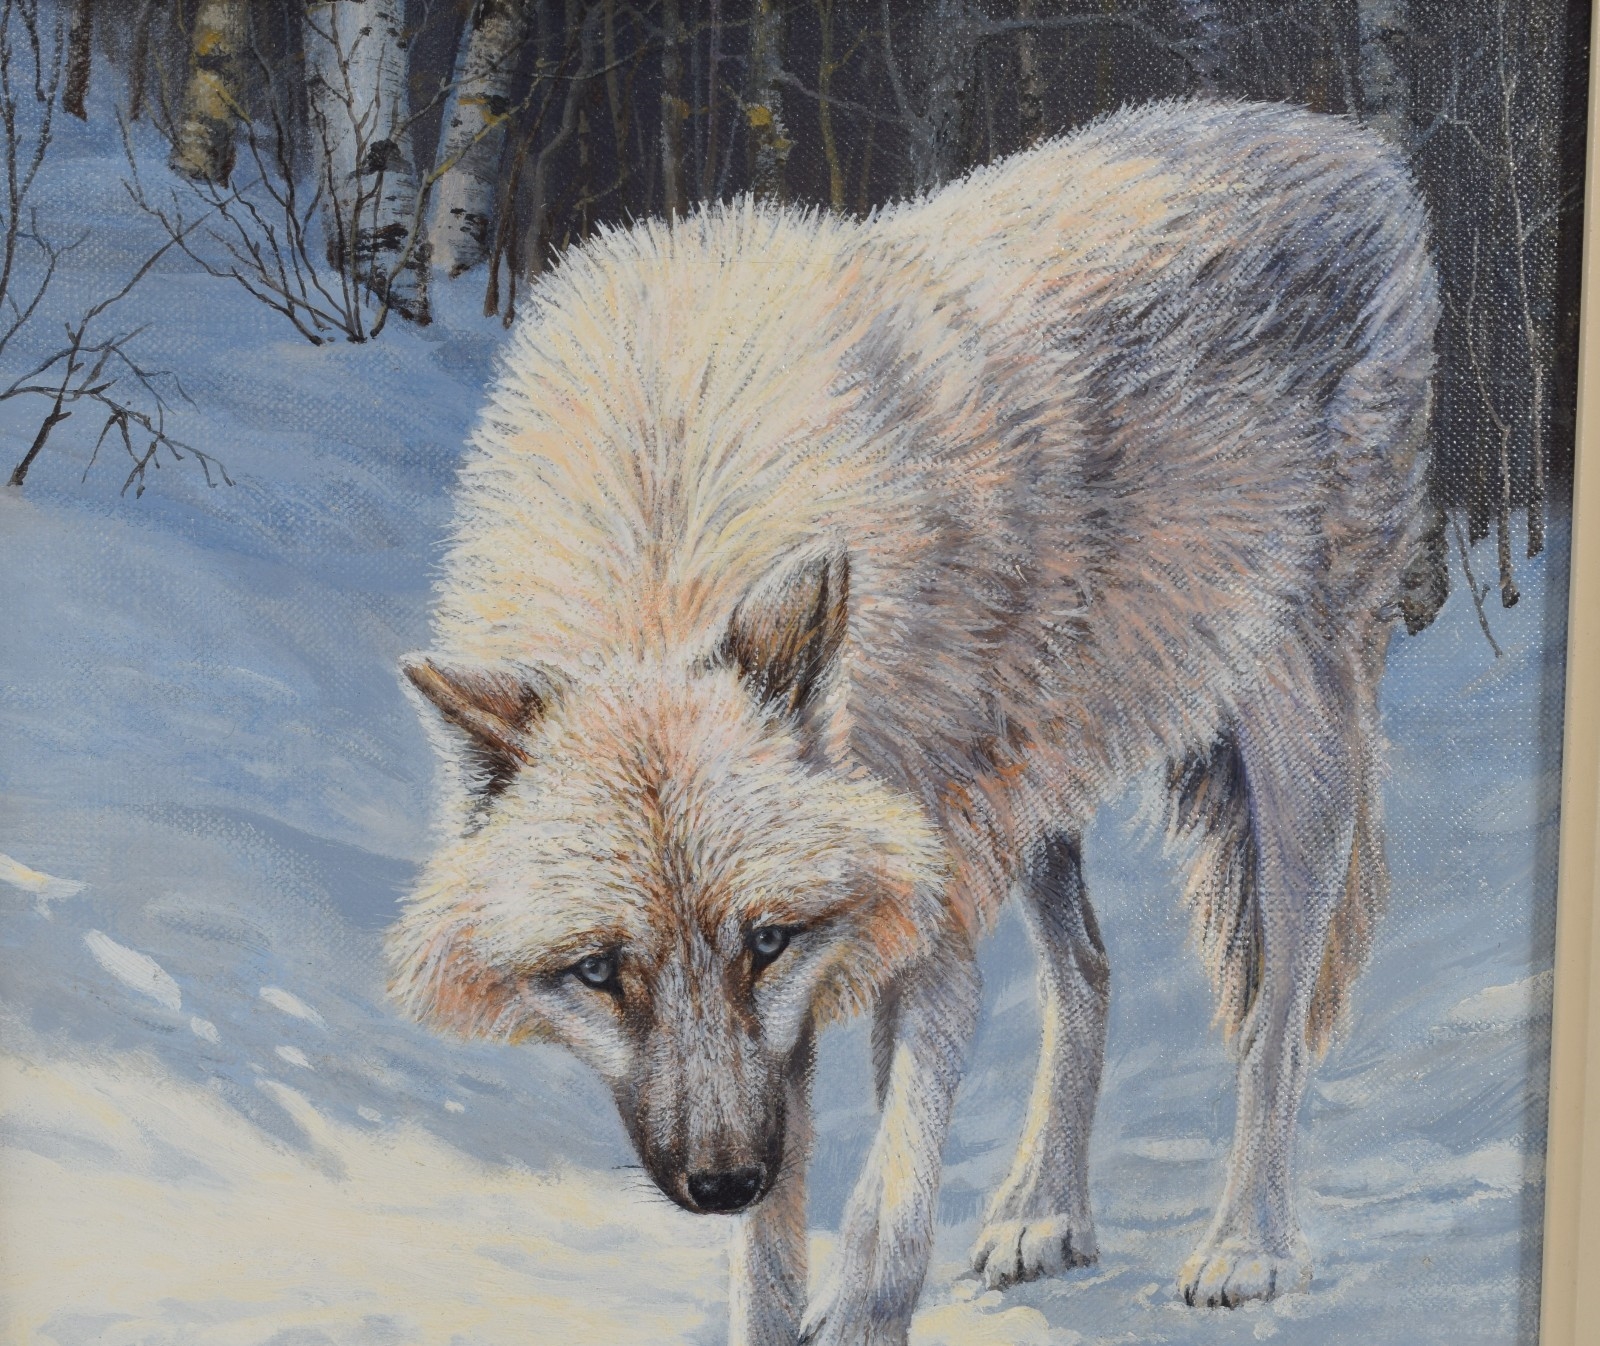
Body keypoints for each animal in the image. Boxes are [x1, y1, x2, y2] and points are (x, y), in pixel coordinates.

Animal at [387, 99, 1443, 1345]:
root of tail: (1349, 144)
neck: (677, 524)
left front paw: (858, 1302)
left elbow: (885, 1223)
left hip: (1294, 747)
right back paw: (1044, 1211)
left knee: (1276, 1009)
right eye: (598, 969)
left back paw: (1249, 1243)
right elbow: (771, 1260)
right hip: (1036, 797)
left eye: (763, 940)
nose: (723, 1178)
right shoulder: (810, 997)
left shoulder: (907, 933)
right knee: (1089, 969)